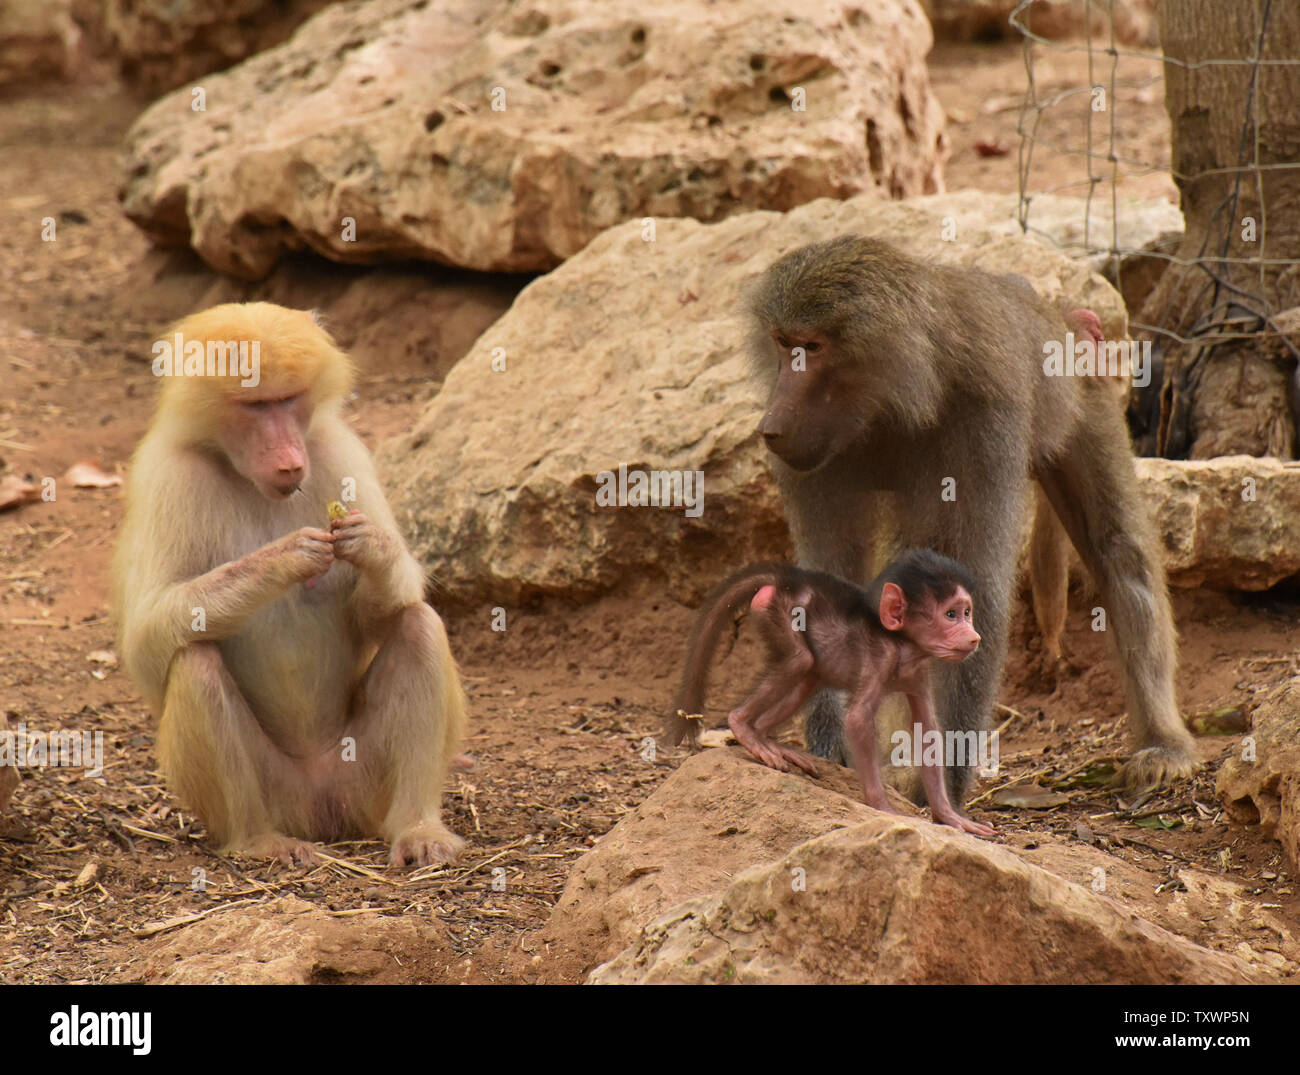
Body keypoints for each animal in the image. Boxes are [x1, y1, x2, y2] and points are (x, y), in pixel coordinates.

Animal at [112, 302, 467, 867]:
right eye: (256, 406)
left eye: (289, 399)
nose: (290, 460)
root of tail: (320, 803)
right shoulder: (168, 476)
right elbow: (147, 640)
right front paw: (286, 556)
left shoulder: (337, 449)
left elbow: (381, 614)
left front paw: (371, 546)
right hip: (278, 792)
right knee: (195, 662)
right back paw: (259, 841)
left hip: (363, 781)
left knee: (418, 626)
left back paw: (418, 830)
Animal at [665, 549, 995, 837]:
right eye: (950, 614)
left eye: (967, 613)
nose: (974, 636)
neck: (900, 643)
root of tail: (789, 578)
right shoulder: (880, 658)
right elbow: (857, 720)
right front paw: (882, 807)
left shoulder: (918, 672)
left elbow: (927, 730)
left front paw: (949, 816)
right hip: (782, 610)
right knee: (800, 661)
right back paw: (742, 726)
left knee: (807, 677)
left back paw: (764, 738)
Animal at [748, 235, 1196, 803]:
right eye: (783, 345)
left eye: (813, 347)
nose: (771, 425)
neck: (898, 399)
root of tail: (1059, 312)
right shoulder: (817, 456)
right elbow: (829, 586)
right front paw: (833, 752)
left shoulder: (987, 419)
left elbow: (974, 582)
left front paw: (942, 787)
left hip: (1085, 394)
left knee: (1119, 552)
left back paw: (1163, 746)